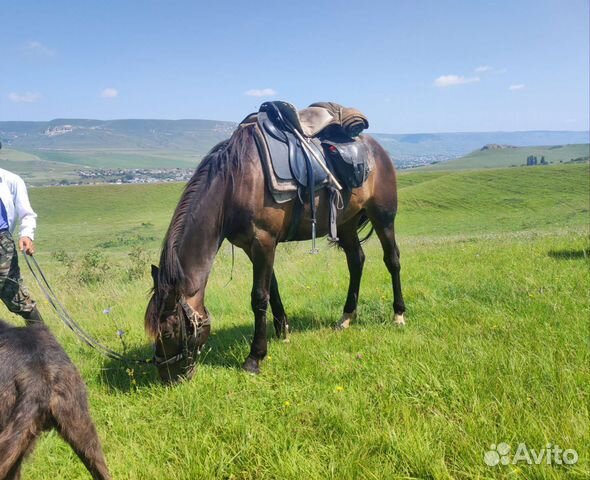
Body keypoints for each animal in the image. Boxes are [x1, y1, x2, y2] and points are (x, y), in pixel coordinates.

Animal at [147, 124, 408, 382]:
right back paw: (346, 317)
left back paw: (398, 314)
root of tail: (377, 149)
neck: (235, 184)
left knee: (392, 260)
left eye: (168, 332)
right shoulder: (253, 246)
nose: (167, 377)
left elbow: (259, 297)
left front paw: (255, 357)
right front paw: (283, 330)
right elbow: (272, 288)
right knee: (356, 260)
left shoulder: (263, 241)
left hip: (383, 216)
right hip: (346, 222)